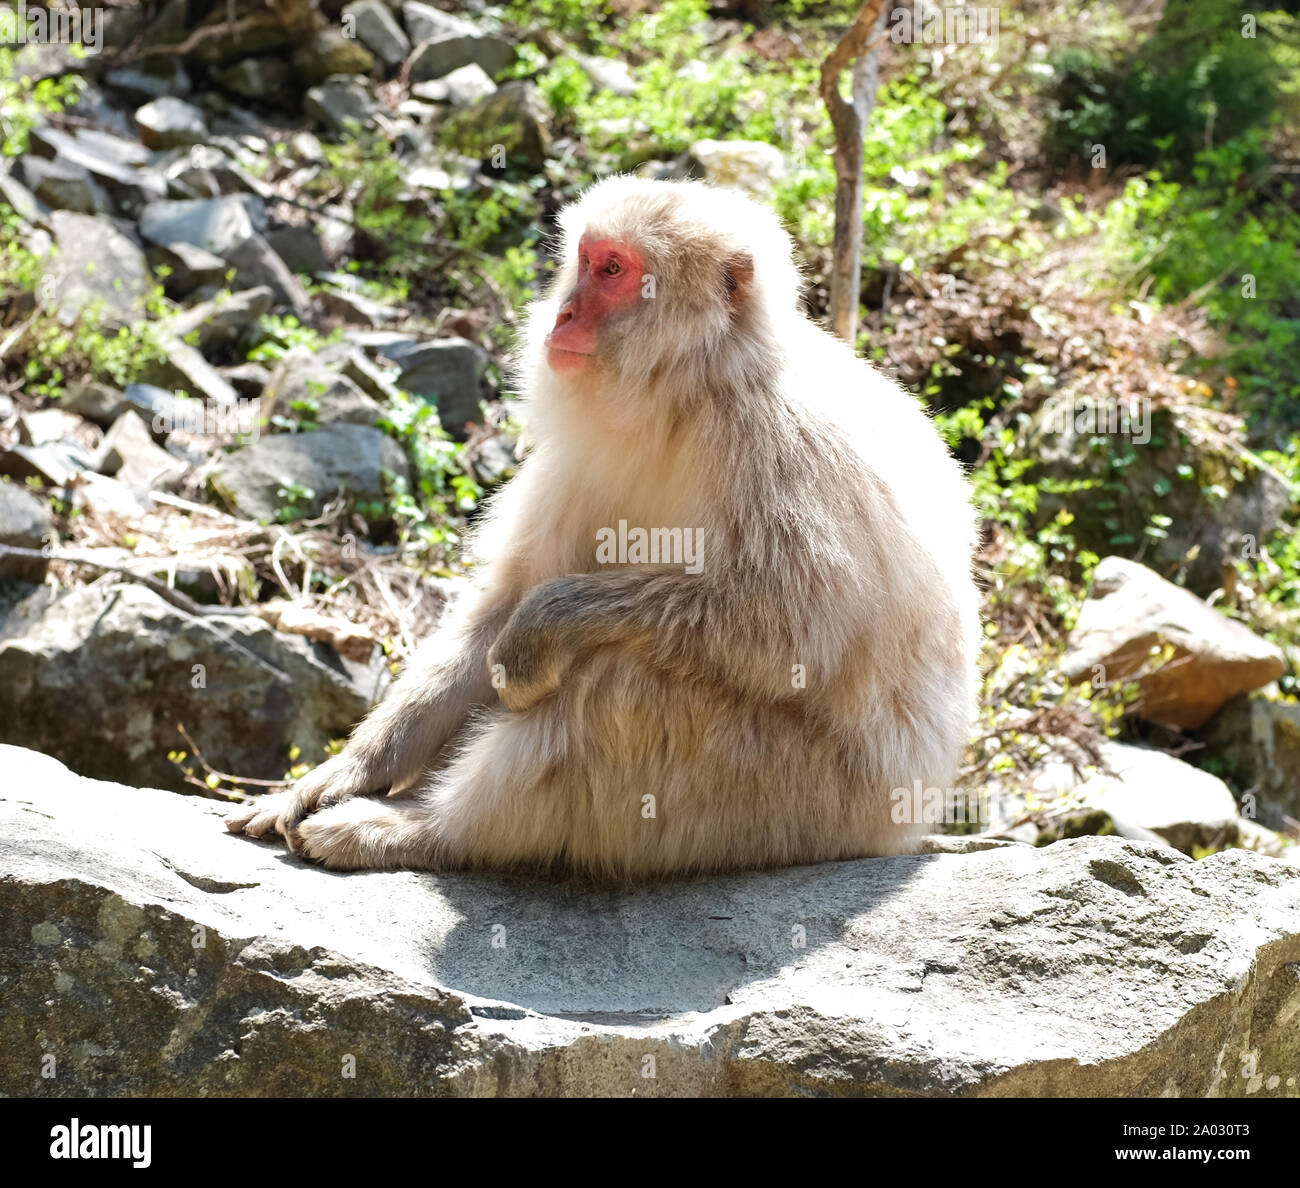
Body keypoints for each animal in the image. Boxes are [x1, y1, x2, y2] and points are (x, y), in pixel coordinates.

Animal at [225, 176, 981, 879]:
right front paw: (350, 769)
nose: (562, 313)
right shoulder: (581, 454)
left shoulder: (786, 445)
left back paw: (430, 832)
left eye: (613, 270)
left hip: (793, 806)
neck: (688, 394)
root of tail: (900, 828)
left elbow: (789, 625)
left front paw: (542, 627)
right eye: (584, 261)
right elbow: (499, 608)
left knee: (620, 680)